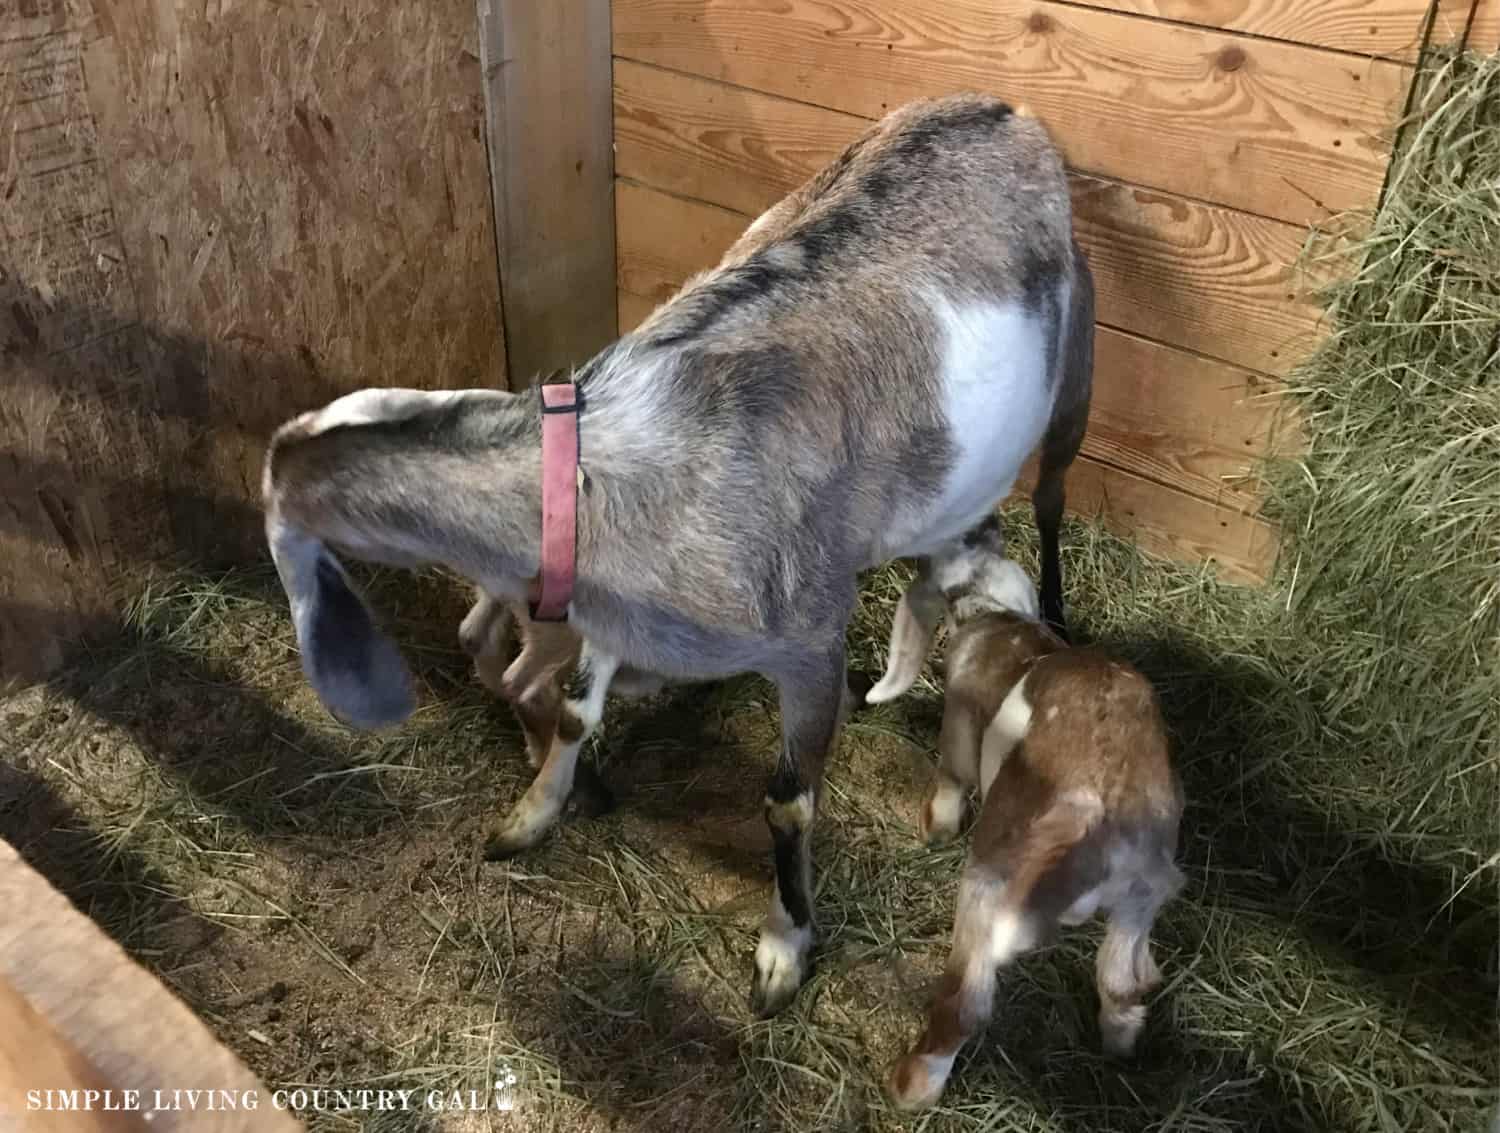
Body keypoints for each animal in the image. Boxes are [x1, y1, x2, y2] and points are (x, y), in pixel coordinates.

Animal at [261, 94, 1094, 1016]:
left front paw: (782, 950)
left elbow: (789, 802)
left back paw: (1058, 616)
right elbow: (577, 710)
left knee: (1053, 497)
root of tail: (1004, 109)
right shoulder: (613, 610)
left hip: (1077, 371)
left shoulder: (808, 639)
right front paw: (536, 809)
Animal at [865, 535, 1183, 1110]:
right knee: (1123, 980)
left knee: (966, 1003)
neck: (994, 614)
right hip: (1142, 898)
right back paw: (1121, 1043)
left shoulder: (960, 727)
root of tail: (1103, 828)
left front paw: (935, 828)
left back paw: (910, 1087)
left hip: (993, 883)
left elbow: (952, 777)